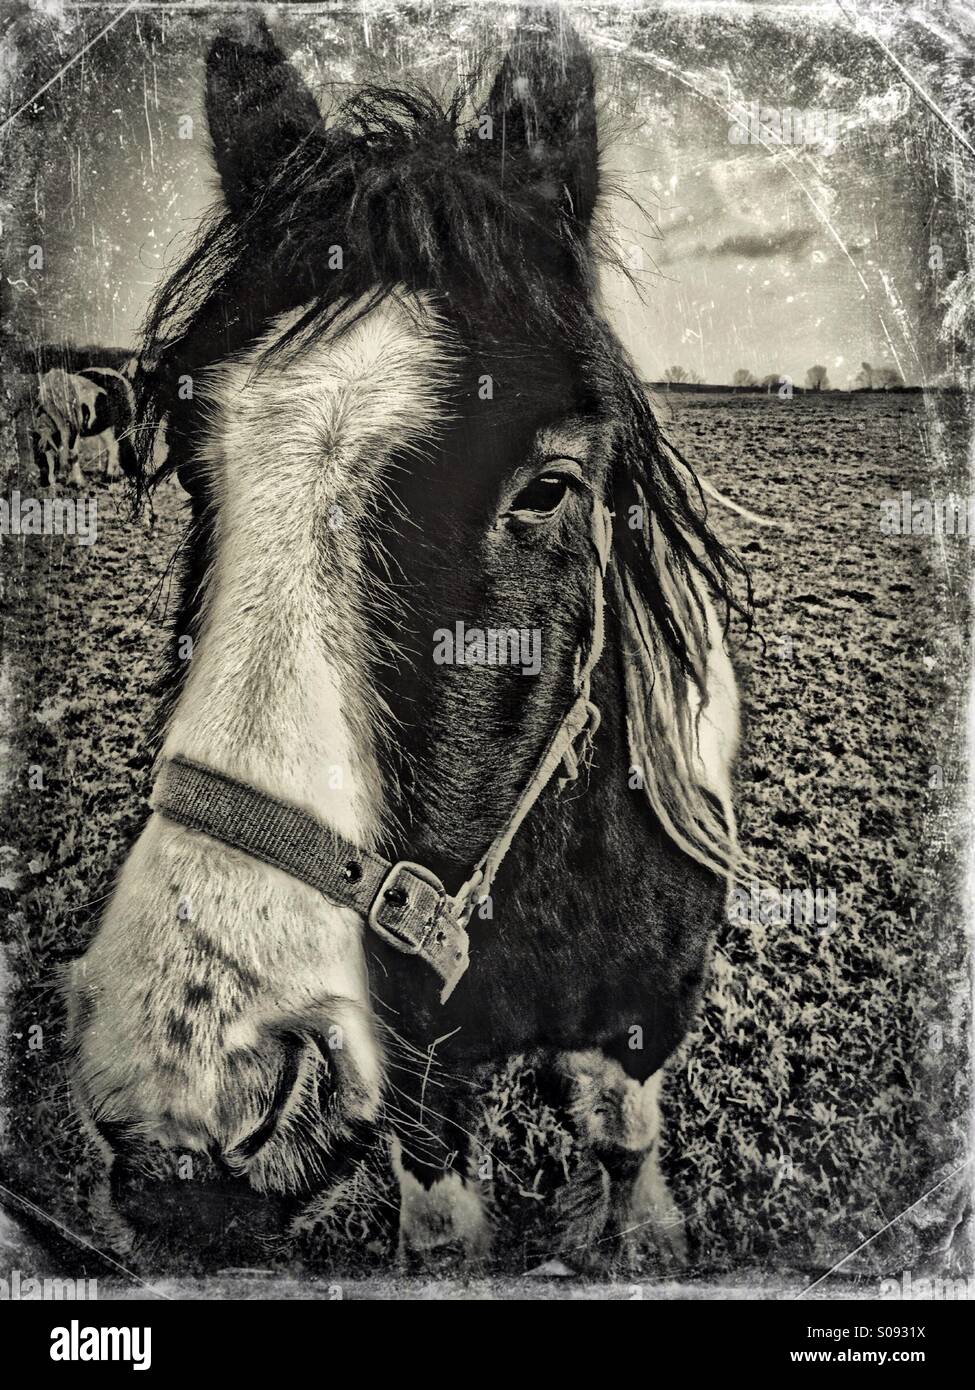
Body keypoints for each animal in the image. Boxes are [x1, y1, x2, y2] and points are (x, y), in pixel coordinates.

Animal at [67, 13, 747, 1270]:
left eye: (549, 487)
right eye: (189, 460)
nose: (196, 1094)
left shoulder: (646, 1016)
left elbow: (626, 1137)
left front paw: (641, 1232)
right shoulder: (426, 1081)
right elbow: (440, 1217)